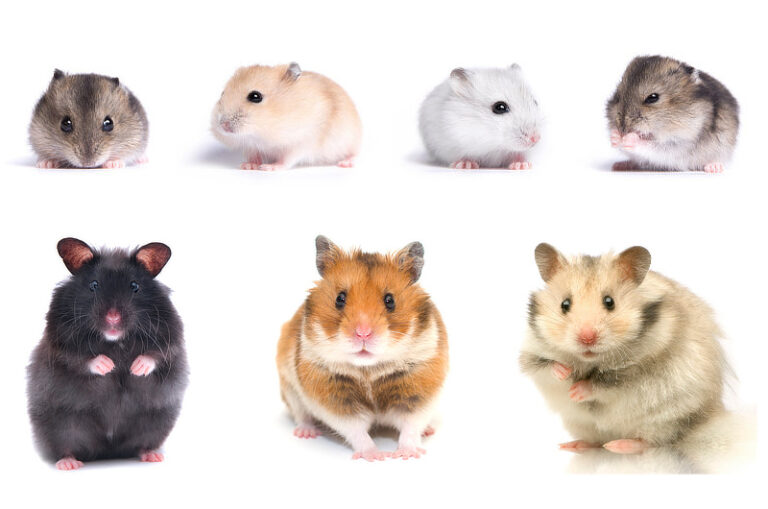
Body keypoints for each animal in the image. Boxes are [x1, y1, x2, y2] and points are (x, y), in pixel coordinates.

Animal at [27, 238, 188, 470]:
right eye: (94, 285)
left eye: (134, 286)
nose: (113, 318)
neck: (115, 341)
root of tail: (108, 450)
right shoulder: (60, 343)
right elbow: (79, 359)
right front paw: (109, 366)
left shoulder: (170, 340)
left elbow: (156, 355)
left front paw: (135, 368)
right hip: (58, 425)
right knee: (64, 445)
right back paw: (69, 463)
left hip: (155, 423)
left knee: (143, 443)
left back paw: (153, 456)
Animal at [211, 63, 362, 171]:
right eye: (222, 94)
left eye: (255, 96)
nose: (223, 125)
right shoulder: (250, 145)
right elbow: (253, 154)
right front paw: (248, 166)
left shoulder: (303, 141)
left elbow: (287, 159)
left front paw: (268, 167)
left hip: (351, 139)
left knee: (355, 153)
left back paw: (345, 163)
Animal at [276, 236, 449, 461]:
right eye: (340, 298)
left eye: (390, 300)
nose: (363, 334)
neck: (369, 370)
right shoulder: (334, 398)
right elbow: (356, 430)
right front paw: (376, 455)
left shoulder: (419, 390)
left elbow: (410, 426)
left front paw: (407, 454)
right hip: (289, 389)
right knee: (301, 414)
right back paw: (306, 432)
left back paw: (428, 430)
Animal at [520, 243, 727, 454]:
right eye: (565, 304)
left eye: (609, 302)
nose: (587, 338)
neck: (590, 361)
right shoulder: (529, 356)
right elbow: (545, 366)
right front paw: (564, 374)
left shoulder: (639, 369)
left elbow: (604, 383)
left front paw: (575, 391)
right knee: (595, 441)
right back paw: (574, 446)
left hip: (668, 420)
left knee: (654, 441)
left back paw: (619, 446)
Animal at [606, 55, 739, 173]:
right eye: (618, 96)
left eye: (653, 97)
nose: (623, 130)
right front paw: (615, 136)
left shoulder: (681, 142)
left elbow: (652, 145)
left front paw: (629, 138)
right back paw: (619, 165)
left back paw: (713, 168)